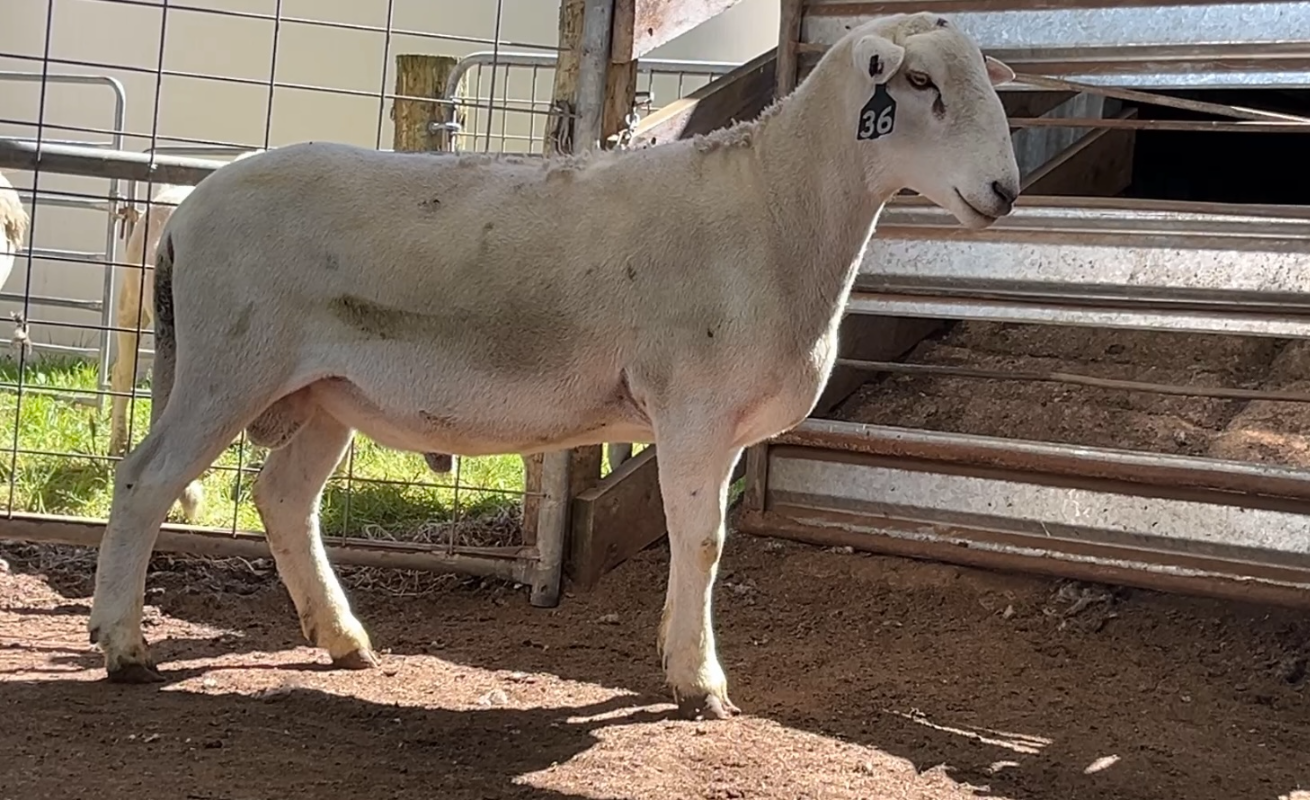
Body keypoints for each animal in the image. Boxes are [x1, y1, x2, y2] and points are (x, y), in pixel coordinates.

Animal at [86, 12, 1020, 719]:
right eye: (921, 83)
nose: (1006, 193)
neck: (776, 206)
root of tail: (189, 210)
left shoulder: (707, 425)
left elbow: (694, 541)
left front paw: (674, 655)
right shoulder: (694, 408)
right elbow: (705, 541)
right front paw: (700, 683)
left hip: (326, 391)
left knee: (282, 497)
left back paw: (344, 640)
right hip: (228, 361)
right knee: (144, 480)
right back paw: (123, 645)